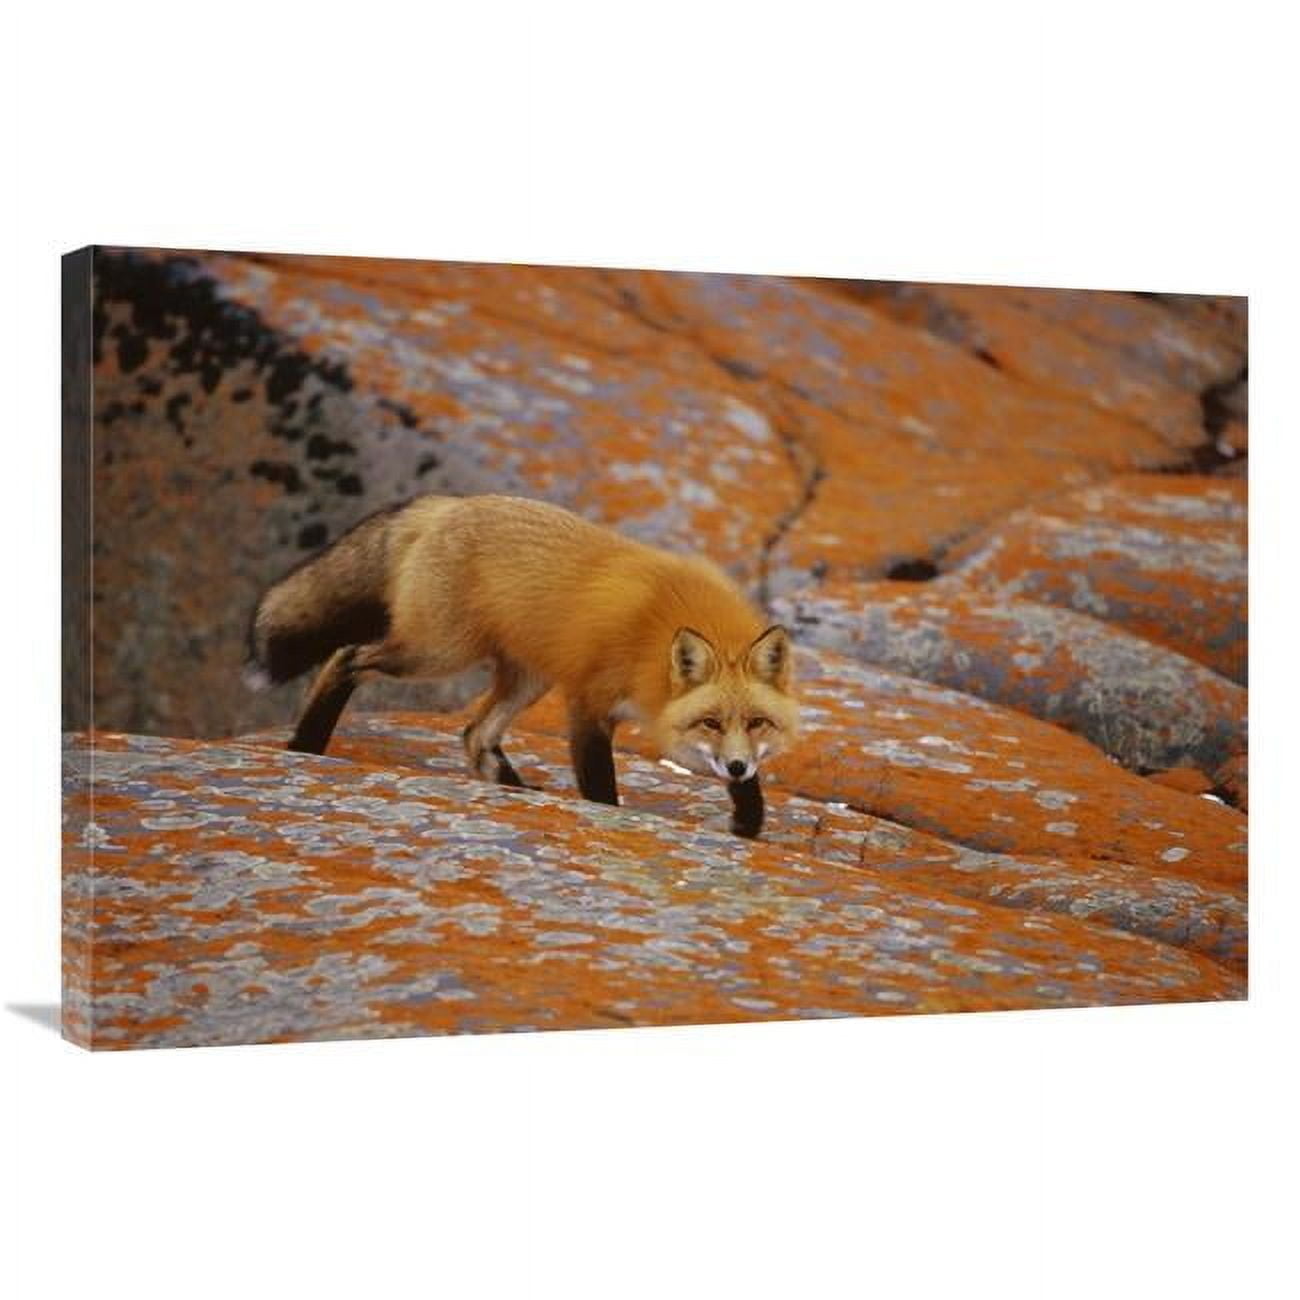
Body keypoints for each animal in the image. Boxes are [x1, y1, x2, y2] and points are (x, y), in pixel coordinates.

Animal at [245, 494, 799, 837]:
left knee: (475, 734)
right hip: (437, 653)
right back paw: (306, 743)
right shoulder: (588, 702)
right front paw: (606, 816)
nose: (735, 763)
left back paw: (517, 790)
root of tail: (448, 504)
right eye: (710, 722)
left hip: (528, 678)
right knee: (346, 658)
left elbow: (752, 790)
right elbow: (600, 784)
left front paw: (747, 824)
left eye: (757, 722)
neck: (656, 639)